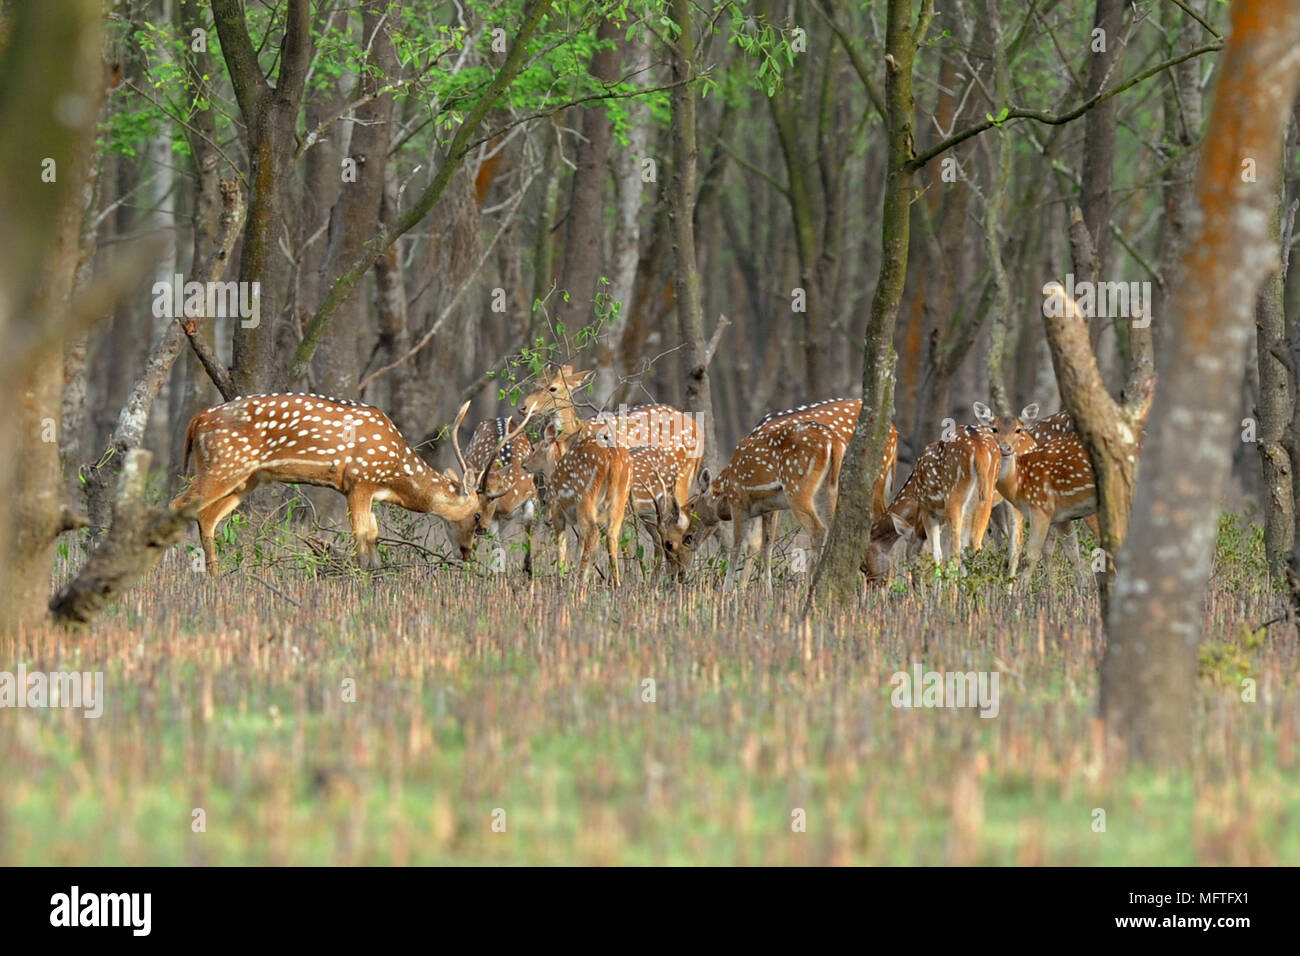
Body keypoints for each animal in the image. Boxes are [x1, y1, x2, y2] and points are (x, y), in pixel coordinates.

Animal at [171, 393, 528, 574]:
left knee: (206, 516)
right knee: (177, 504)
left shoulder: (367, 490)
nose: (467, 553)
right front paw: (363, 581)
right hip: (225, 464)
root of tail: (196, 420)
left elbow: (373, 535)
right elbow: (361, 535)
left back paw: (215, 577)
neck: (395, 475)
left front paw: (378, 576)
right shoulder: (359, 482)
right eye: (478, 516)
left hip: (247, 479)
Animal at [521, 418, 633, 587]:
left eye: (534, 448)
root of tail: (612, 460)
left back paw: (580, 588)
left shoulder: (558, 511)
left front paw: (561, 583)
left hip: (585, 497)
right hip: (620, 500)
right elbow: (578, 550)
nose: (524, 464)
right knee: (612, 537)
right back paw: (616, 585)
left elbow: (562, 550)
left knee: (593, 533)